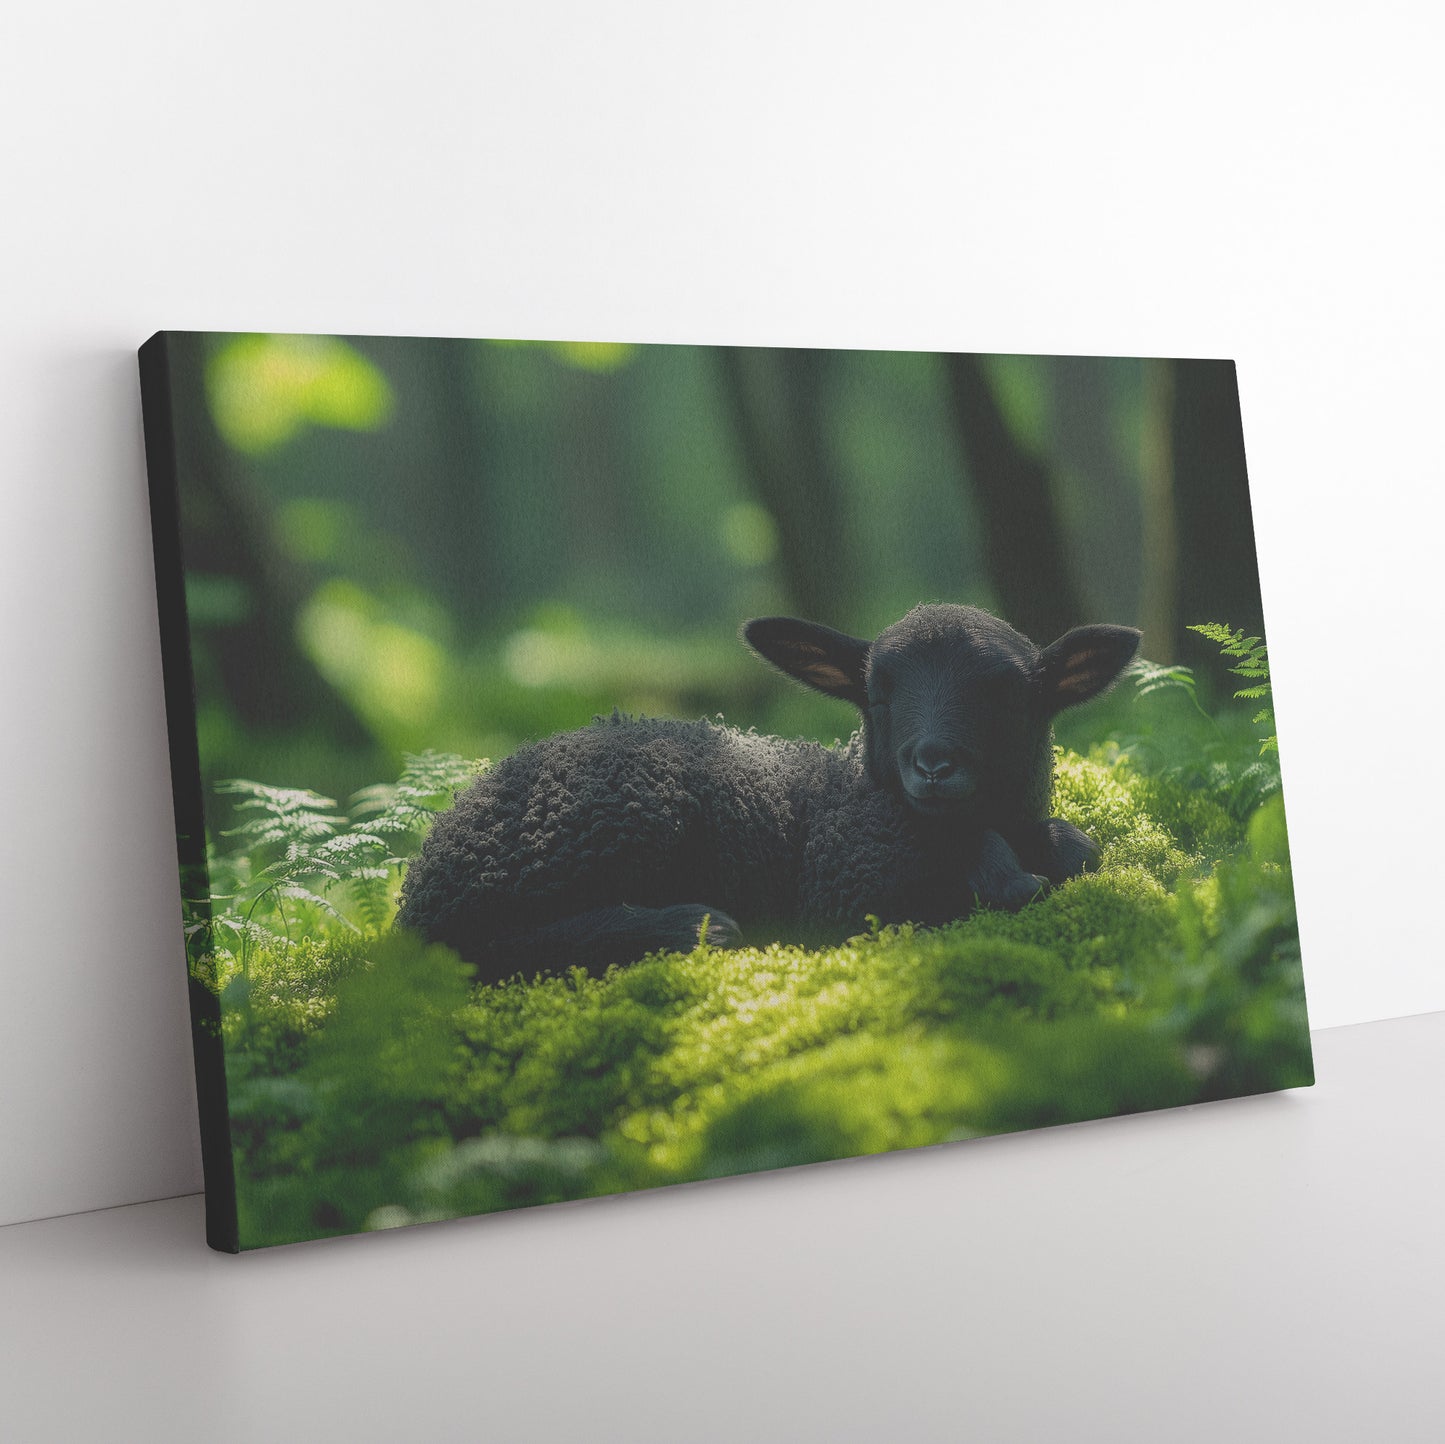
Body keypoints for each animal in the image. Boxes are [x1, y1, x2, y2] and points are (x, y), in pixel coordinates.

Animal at [397, 604, 1140, 985]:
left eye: (1008, 694)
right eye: (877, 695)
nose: (934, 764)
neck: (853, 791)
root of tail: (425, 871)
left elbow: (1078, 848)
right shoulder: (847, 884)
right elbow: (999, 878)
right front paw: (1009, 877)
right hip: (607, 824)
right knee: (485, 946)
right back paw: (693, 926)